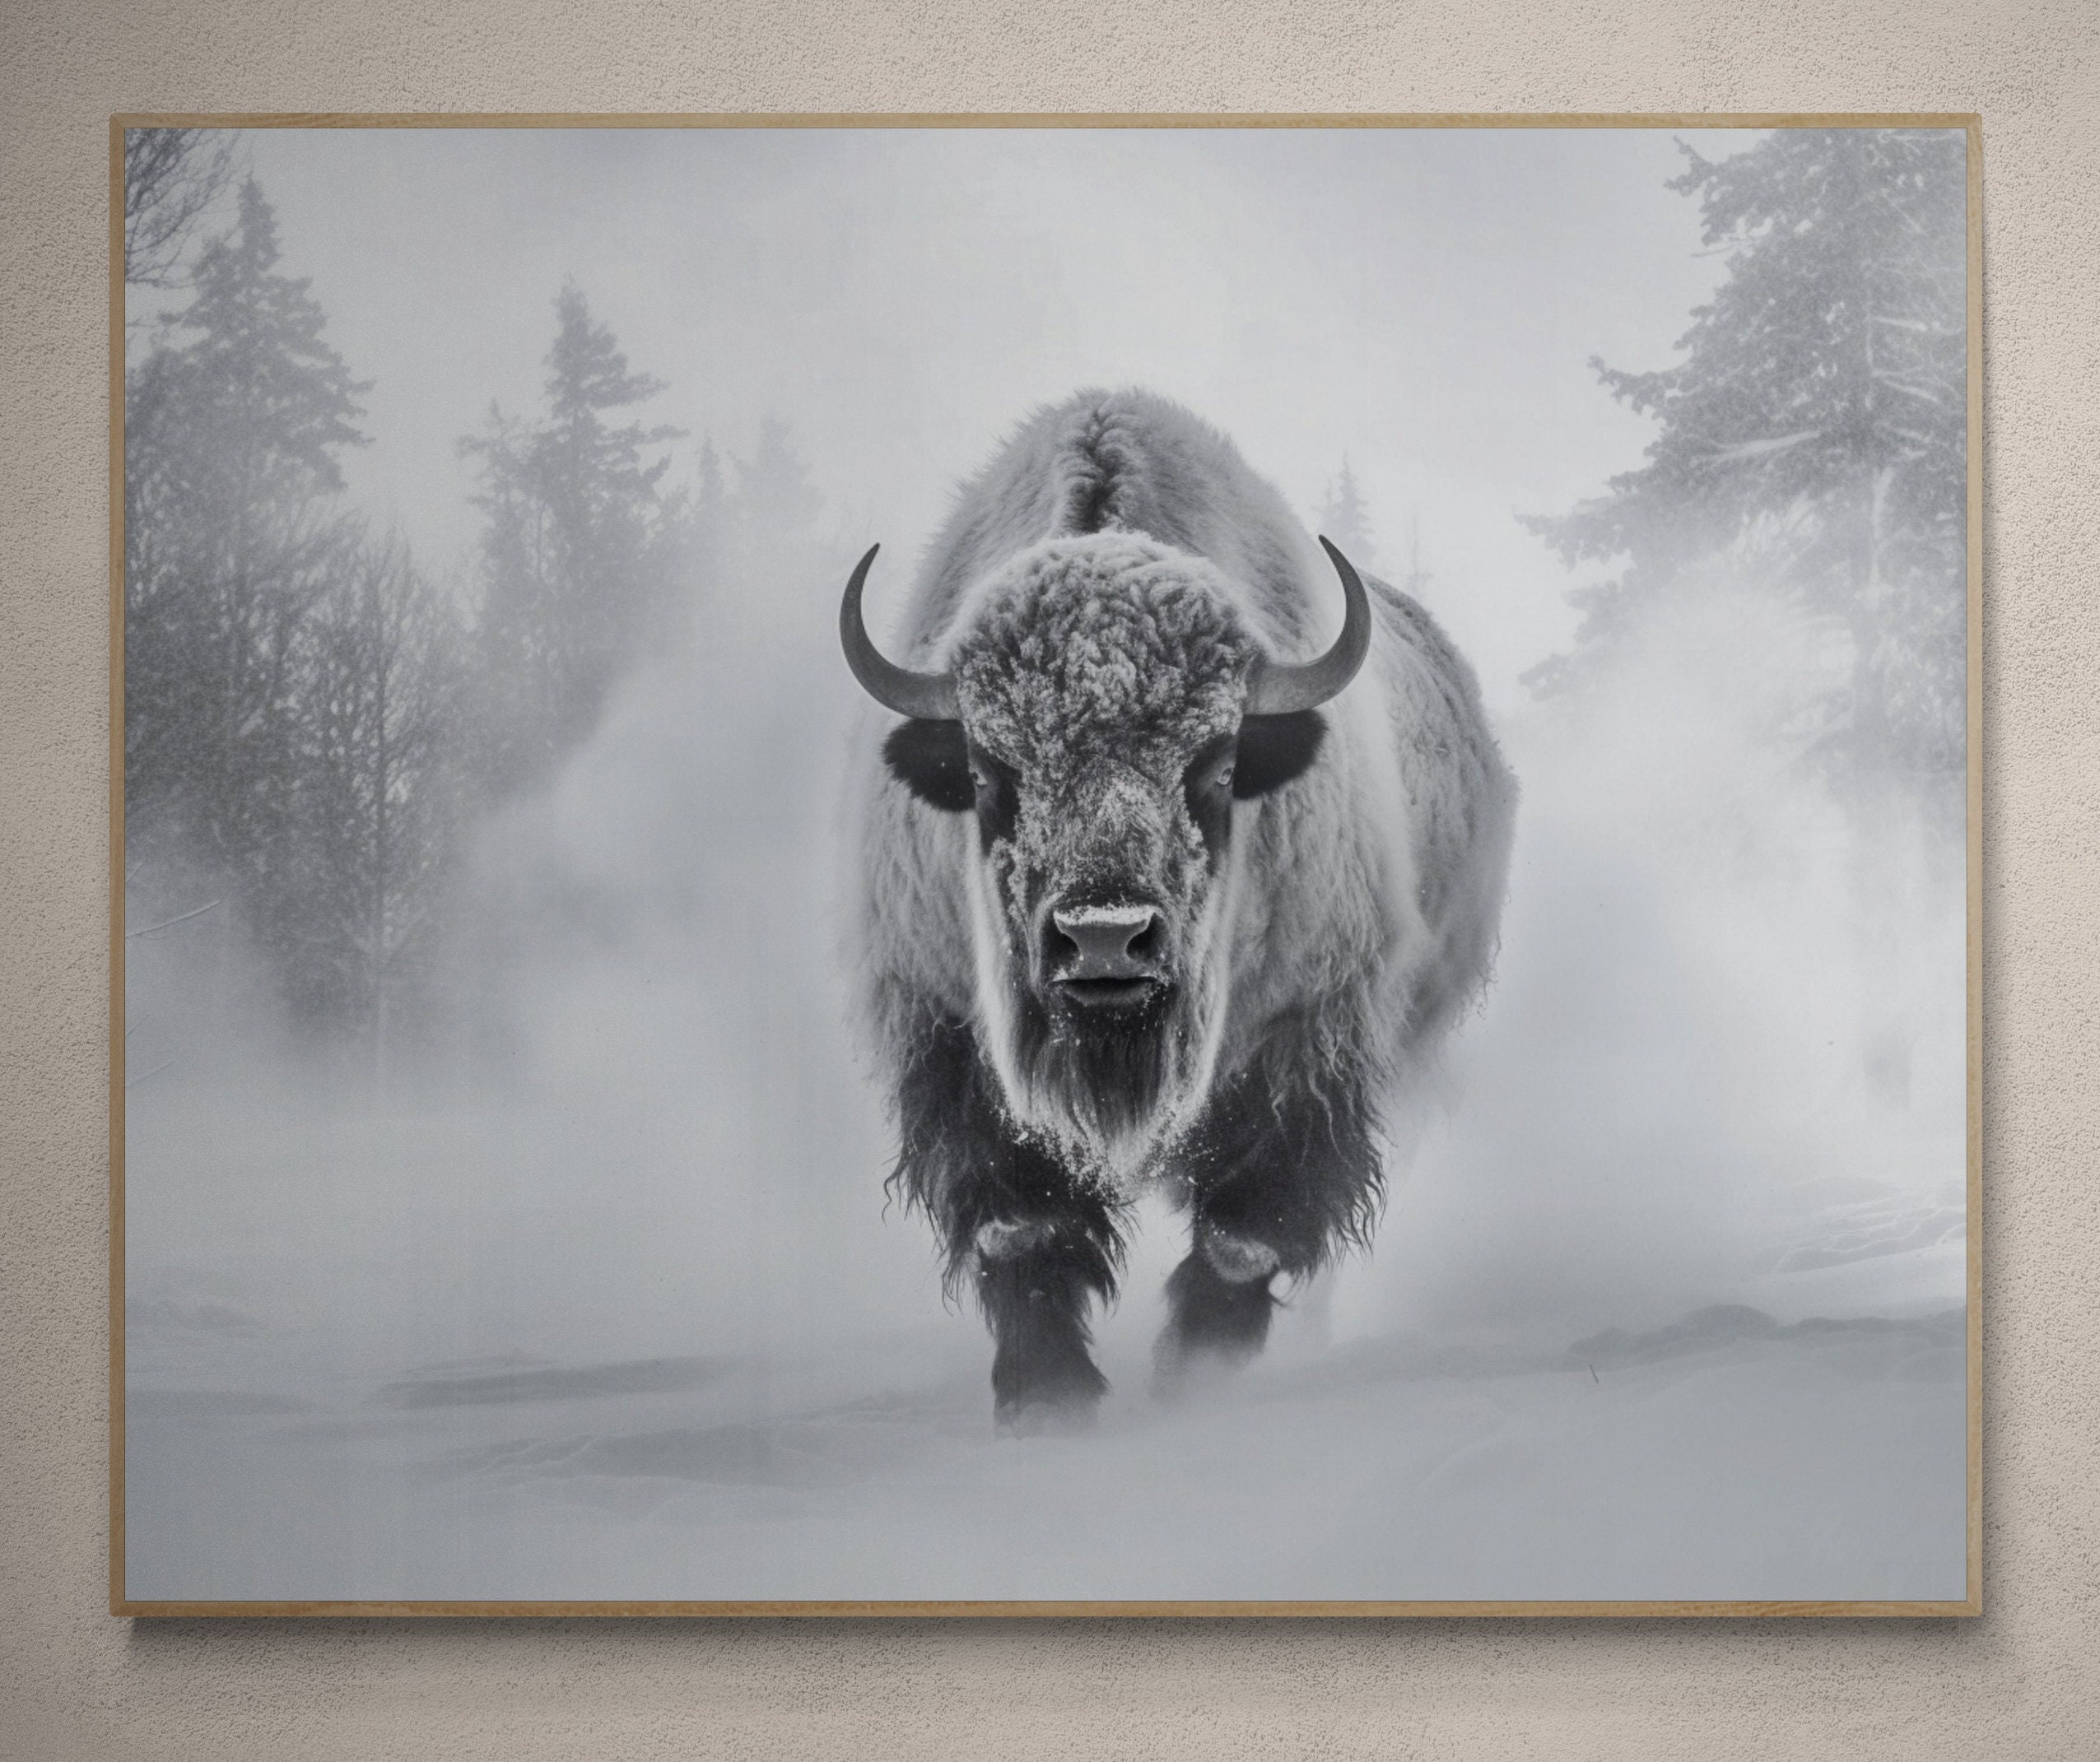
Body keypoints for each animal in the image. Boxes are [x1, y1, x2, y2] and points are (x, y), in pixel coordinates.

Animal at [840, 389, 1515, 1428]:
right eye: (989, 773)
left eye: (1218, 764)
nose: (1104, 940)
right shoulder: (947, 1032)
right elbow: (1016, 1224)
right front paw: (1048, 1400)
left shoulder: (1308, 1036)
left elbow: (1248, 1228)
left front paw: (1192, 1377)